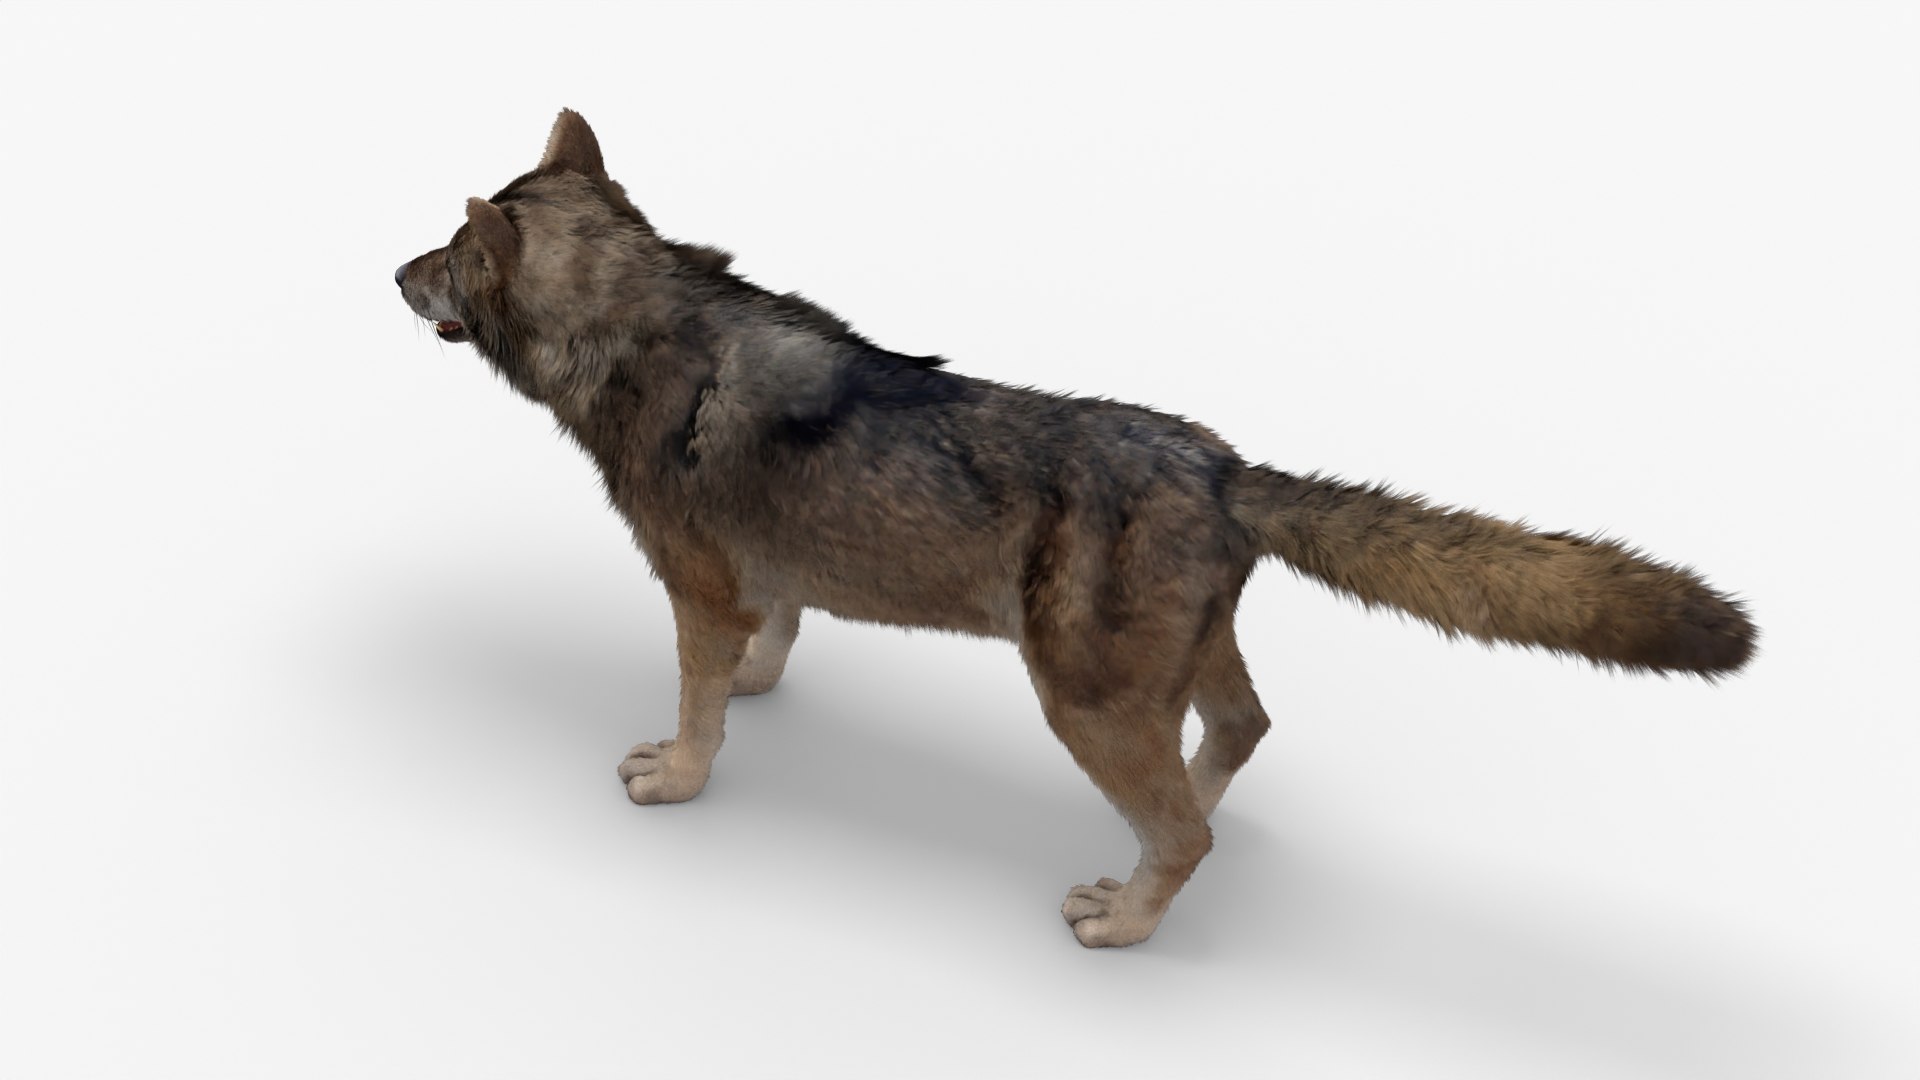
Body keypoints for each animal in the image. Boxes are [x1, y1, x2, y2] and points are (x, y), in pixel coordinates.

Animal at [396, 110, 1755, 948]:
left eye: (452, 254)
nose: (391, 271)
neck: (640, 322)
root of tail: (1226, 467)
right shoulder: (760, 575)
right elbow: (775, 637)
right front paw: (761, 688)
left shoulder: (693, 587)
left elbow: (696, 708)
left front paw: (678, 776)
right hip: (1157, 674)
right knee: (1239, 738)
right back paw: (1179, 816)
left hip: (1079, 700)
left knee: (1190, 829)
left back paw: (1128, 919)